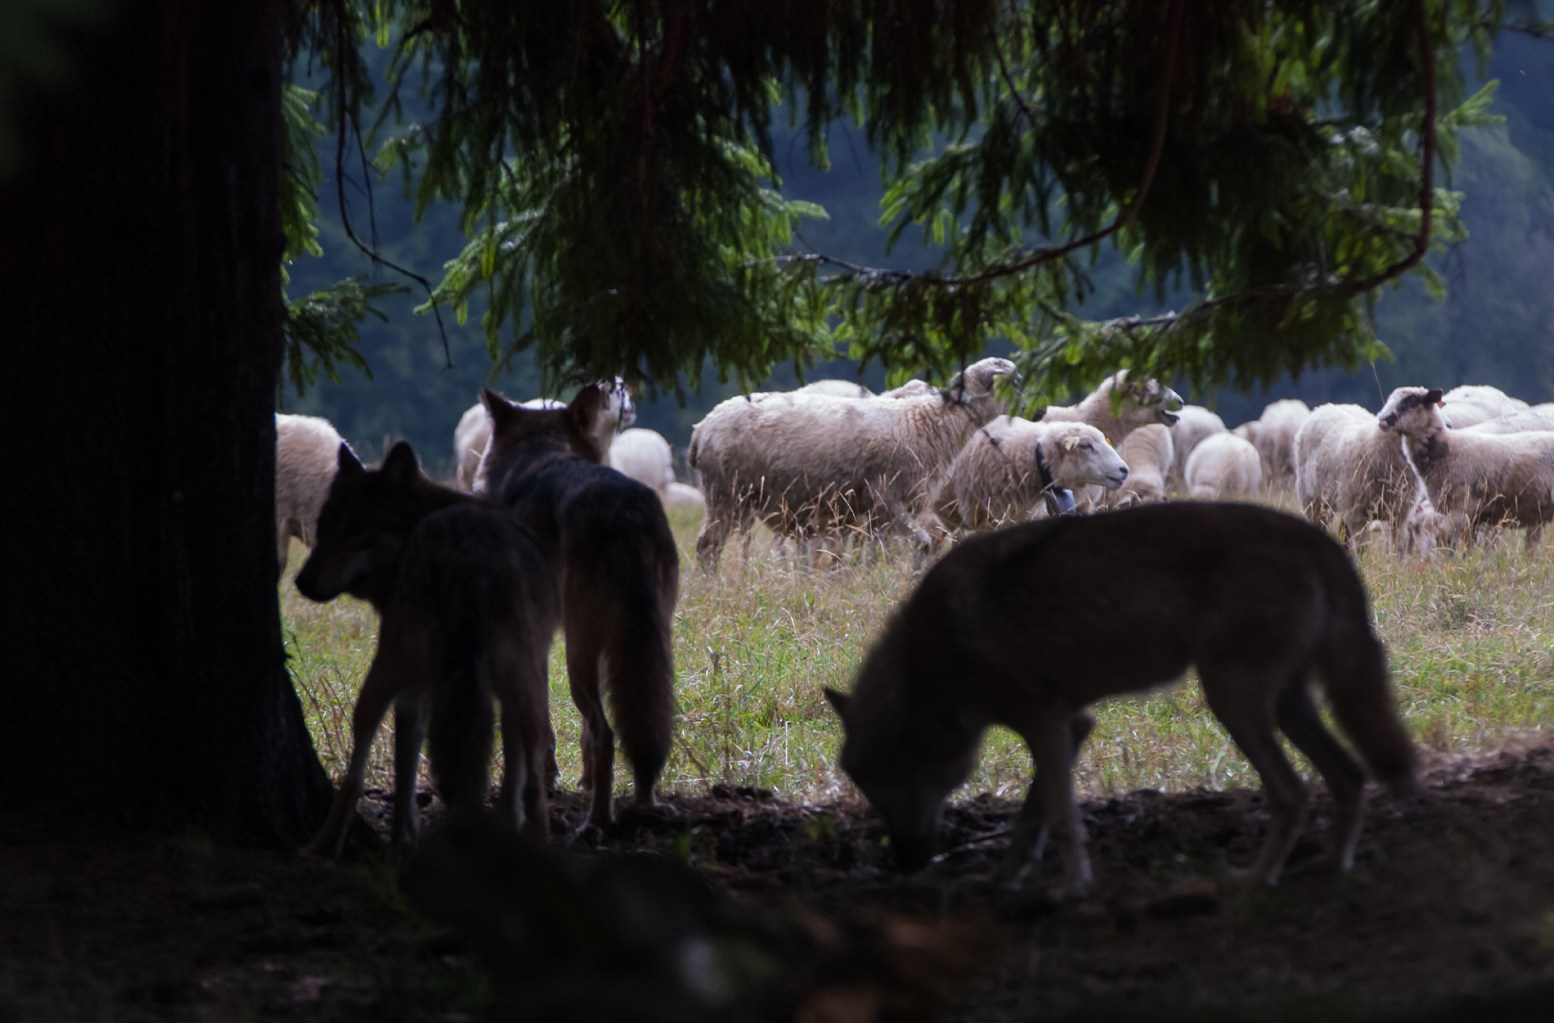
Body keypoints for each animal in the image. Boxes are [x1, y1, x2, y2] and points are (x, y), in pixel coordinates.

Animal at [295, 441, 560, 855]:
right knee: (534, 779)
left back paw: (322, 846)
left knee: (354, 773)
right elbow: (513, 766)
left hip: (384, 669)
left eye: (356, 529)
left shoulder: (410, 689)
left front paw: (402, 838)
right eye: (322, 528)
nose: (302, 582)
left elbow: (404, 767)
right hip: (526, 688)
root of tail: (467, 554)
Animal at [477, 383, 680, 831]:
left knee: (605, 733)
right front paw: (575, 781)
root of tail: (625, 510)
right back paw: (645, 803)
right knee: (640, 723)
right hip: (639, 646)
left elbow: (536, 724)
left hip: (580, 651)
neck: (538, 453)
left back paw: (598, 821)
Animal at [826, 501, 1417, 892]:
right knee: (1349, 778)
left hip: (1234, 702)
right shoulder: (1072, 725)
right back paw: (1331, 868)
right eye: (867, 789)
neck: (927, 659)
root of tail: (1313, 537)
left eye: (886, 786)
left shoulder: (1045, 723)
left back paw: (1255, 878)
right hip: (1286, 708)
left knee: (1294, 793)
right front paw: (1006, 879)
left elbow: (1061, 818)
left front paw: (1073, 891)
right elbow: (1033, 818)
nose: (905, 864)